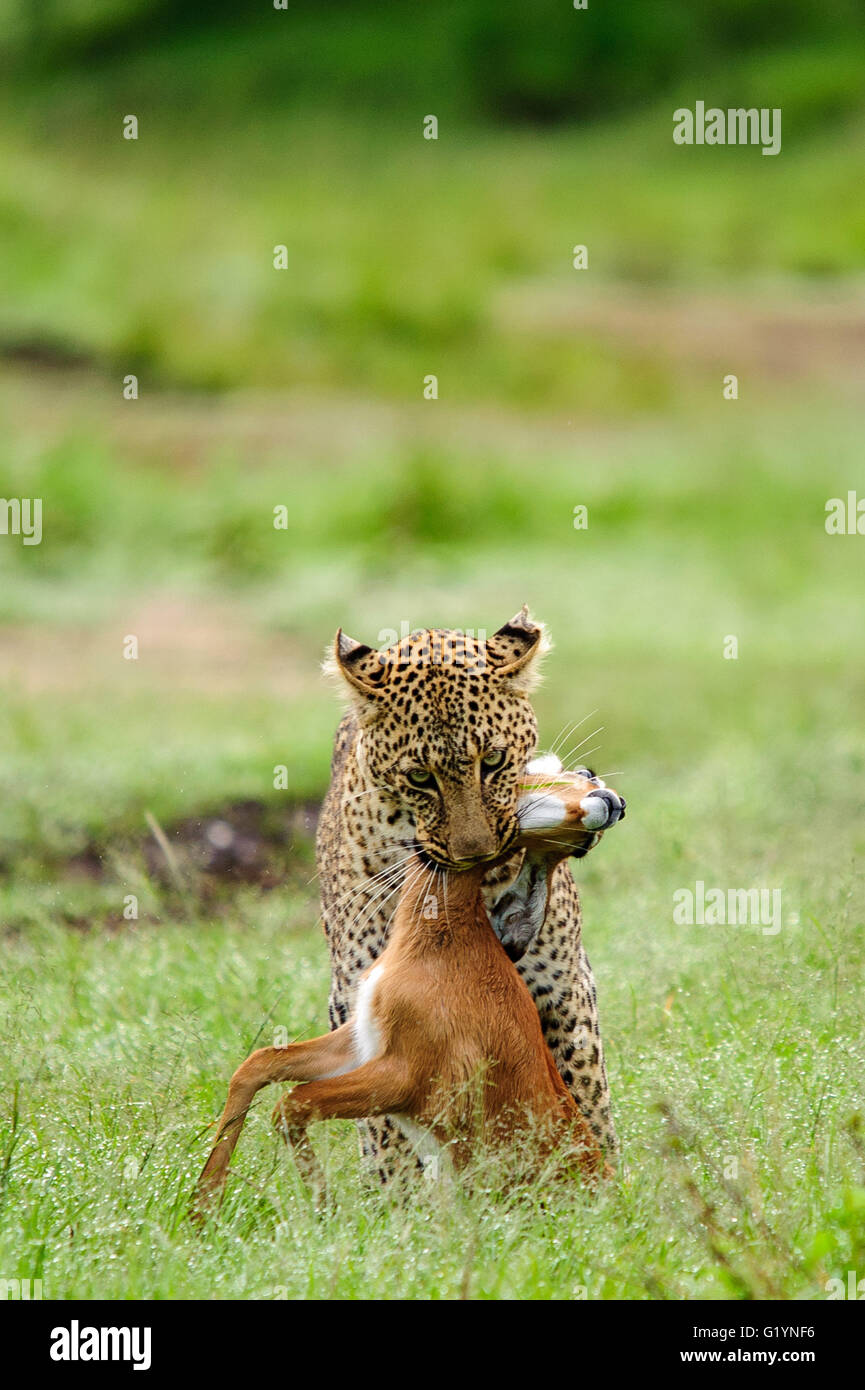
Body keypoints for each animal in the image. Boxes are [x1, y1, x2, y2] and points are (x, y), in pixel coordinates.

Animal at [316, 606, 618, 1181]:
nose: (476, 853)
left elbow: (582, 1093)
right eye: (419, 777)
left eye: (493, 760)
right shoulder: (364, 999)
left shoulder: (561, 989)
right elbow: (390, 1139)